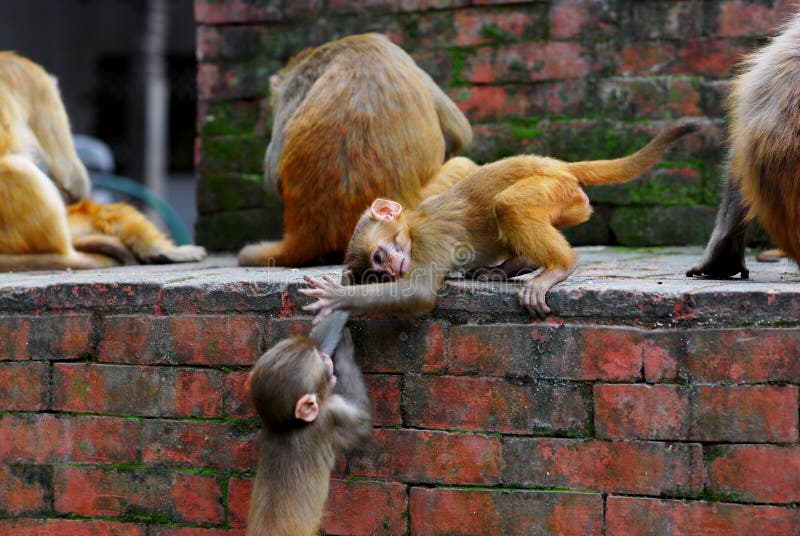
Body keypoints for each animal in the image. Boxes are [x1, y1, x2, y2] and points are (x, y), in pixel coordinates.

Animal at [245, 324, 371, 536]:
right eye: (320, 360)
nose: (327, 357)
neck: (289, 426)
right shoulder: (330, 414)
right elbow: (363, 428)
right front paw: (345, 353)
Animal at [302, 121, 701, 319]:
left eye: (380, 257)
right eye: (378, 272)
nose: (390, 270)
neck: (412, 224)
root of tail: (559, 166)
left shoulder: (430, 237)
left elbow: (418, 293)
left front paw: (336, 296)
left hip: (557, 190)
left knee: (509, 204)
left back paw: (559, 266)